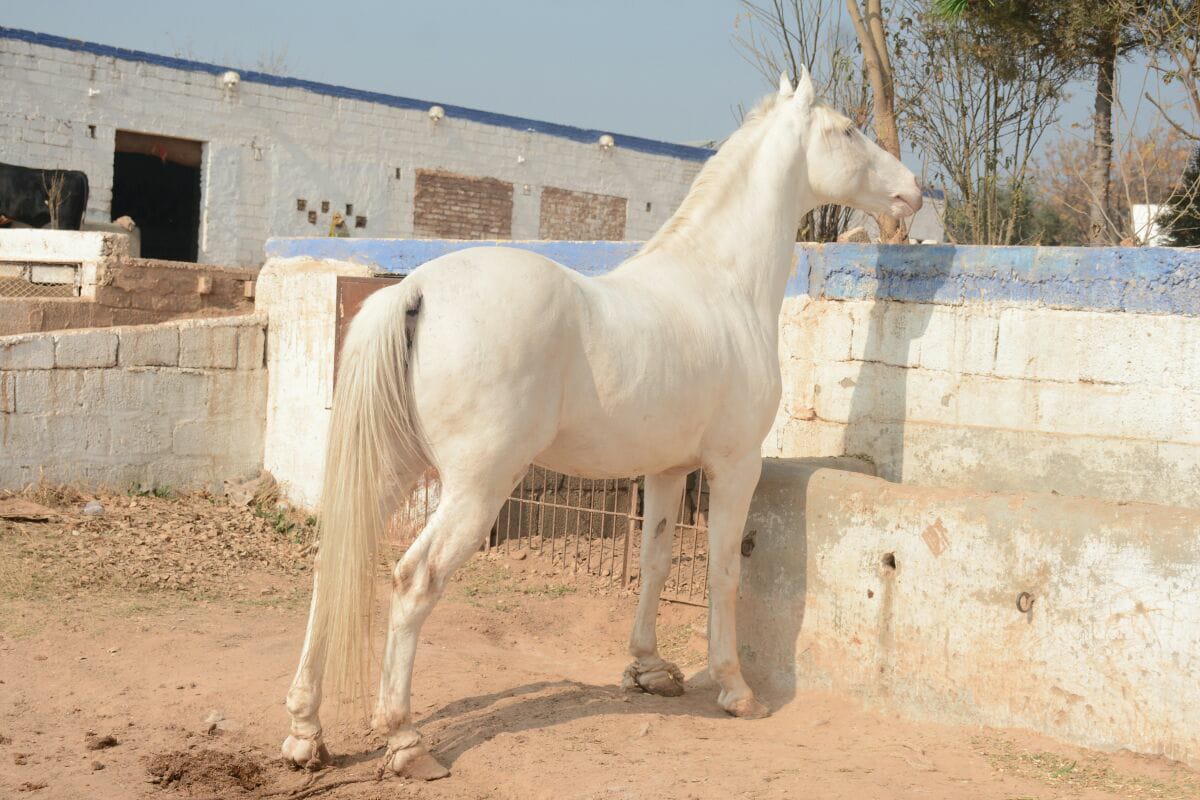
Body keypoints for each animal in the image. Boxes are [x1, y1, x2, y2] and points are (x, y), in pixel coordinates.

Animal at [281, 67, 922, 781]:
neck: (721, 284)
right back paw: (405, 740)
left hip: (394, 468)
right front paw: (735, 689)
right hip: (476, 486)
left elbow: (657, 561)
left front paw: (648, 669)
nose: (913, 191)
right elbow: (723, 573)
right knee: (414, 581)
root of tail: (413, 289)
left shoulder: (667, 472)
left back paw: (306, 733)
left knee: (330, 564)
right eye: (846, 131)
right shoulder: (734, 466)